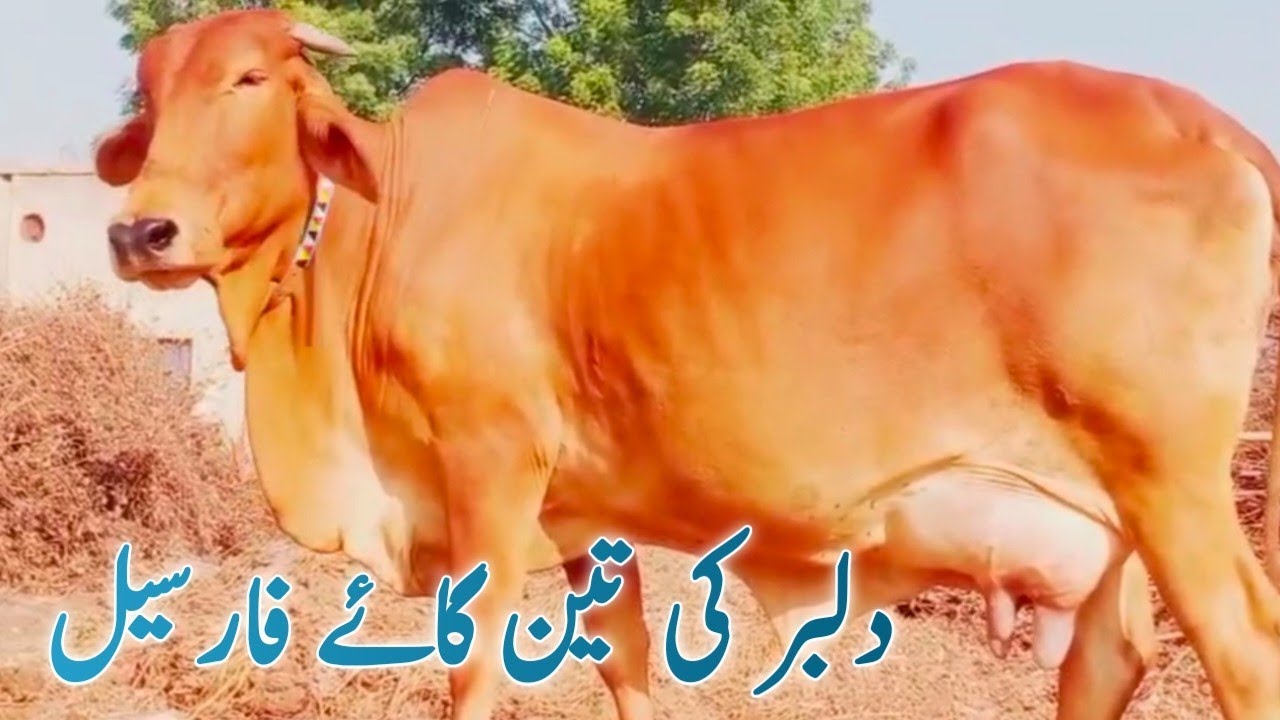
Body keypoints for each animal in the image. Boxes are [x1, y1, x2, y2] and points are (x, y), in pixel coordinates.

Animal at [92, 8, 1280, 720]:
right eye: (148, 92)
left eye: (251, 77)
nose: (141, 231)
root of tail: (1208, 122)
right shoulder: (586, 520)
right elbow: (623, 665)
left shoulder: (488, 471)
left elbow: (475, 664)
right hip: (1106, 520)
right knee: (1107, 660)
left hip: (1170, 486)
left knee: (1243, 651)